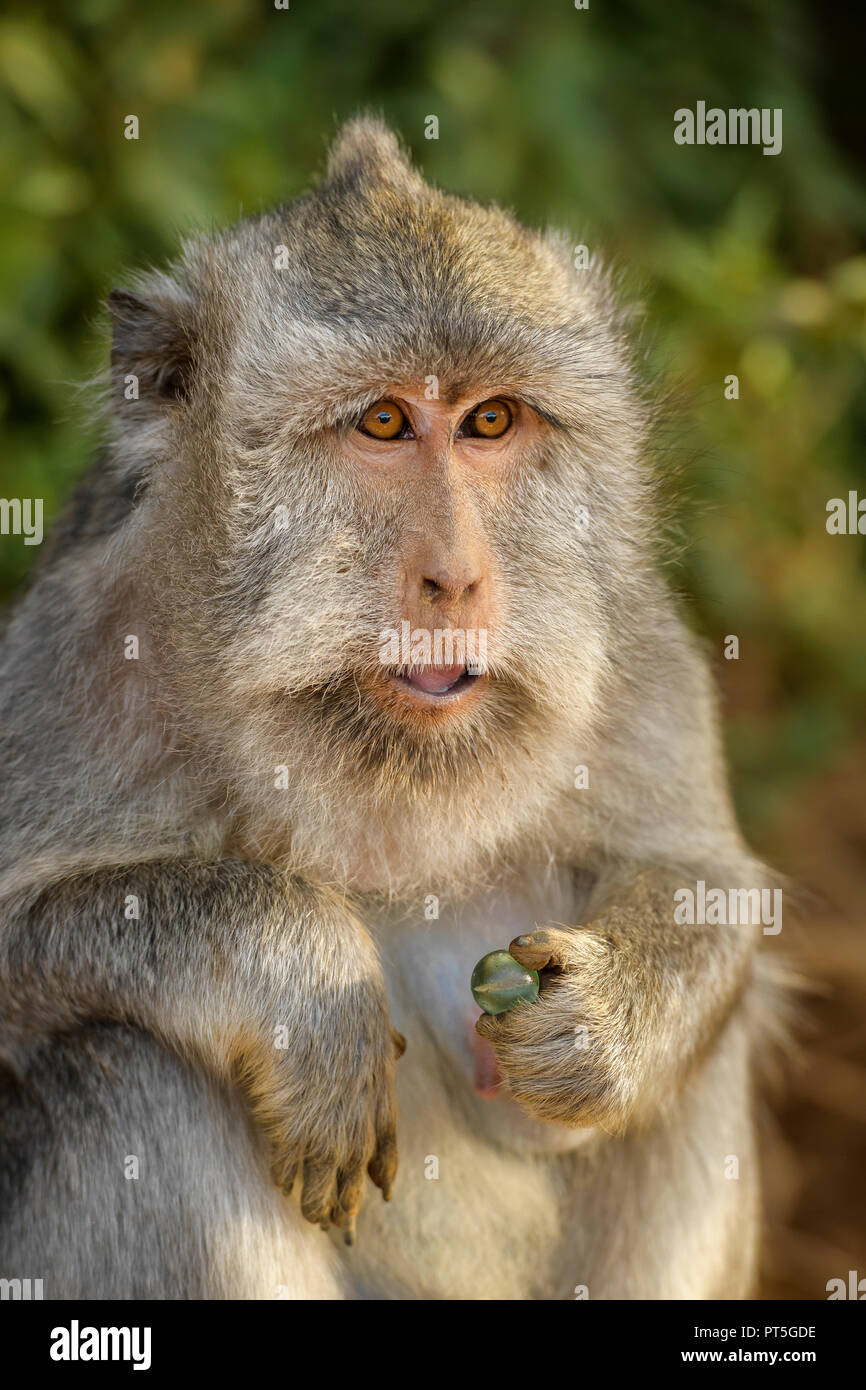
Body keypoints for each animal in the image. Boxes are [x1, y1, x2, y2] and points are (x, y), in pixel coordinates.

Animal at [0, 117, 783, 1300]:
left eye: (491, 419)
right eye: (381, 421)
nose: (456, 577)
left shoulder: (633, 644)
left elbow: (707, 883)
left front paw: (600, 1024)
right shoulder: (77, 649)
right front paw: (304, 975)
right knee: (128, 1070)